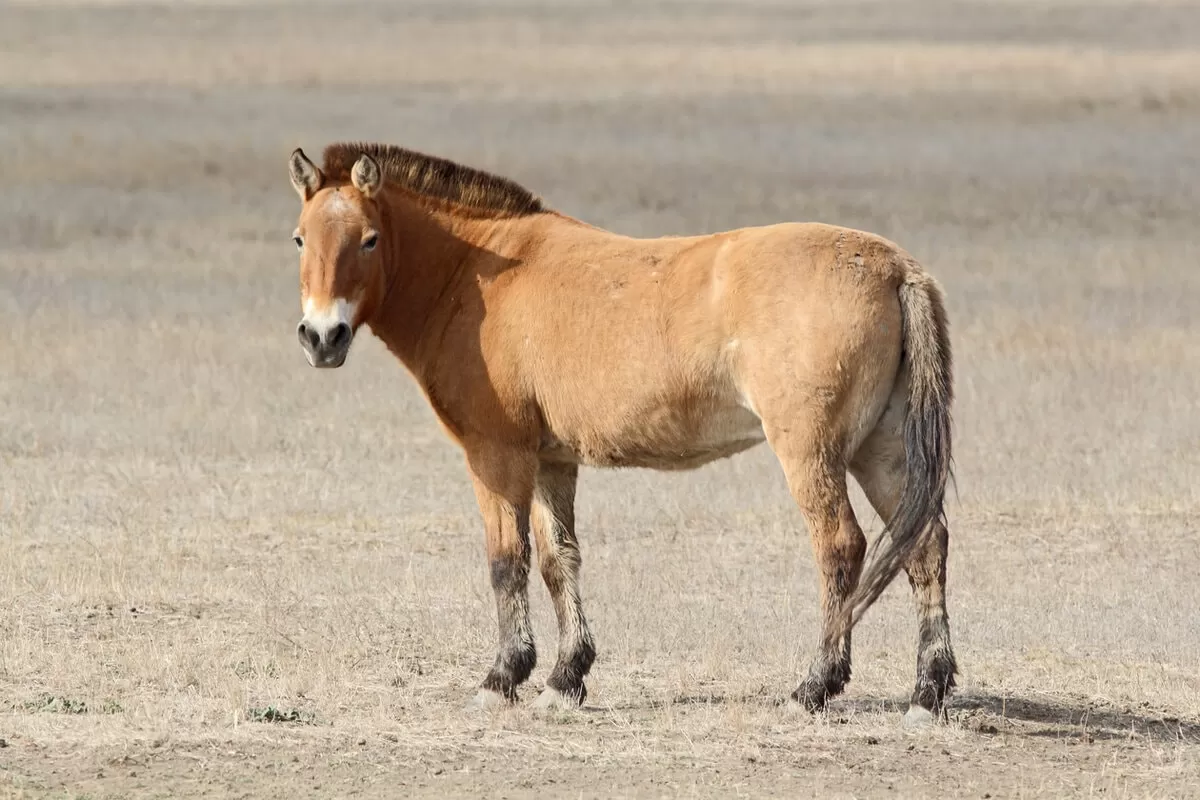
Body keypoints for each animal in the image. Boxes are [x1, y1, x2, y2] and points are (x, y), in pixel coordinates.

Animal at [283, 143, 955, 724]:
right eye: (299, 238)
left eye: (369, 239)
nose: (321, 338)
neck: (477, 275)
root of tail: (896, 268)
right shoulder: (550, 460)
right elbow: (558, 560)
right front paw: (564, 678)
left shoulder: (496, 456)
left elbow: (506, 561)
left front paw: (502, 678)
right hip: (879, 450)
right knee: (925, 544)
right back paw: (929, 692)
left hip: (811, 454)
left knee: (841, 547)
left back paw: (814, 686)